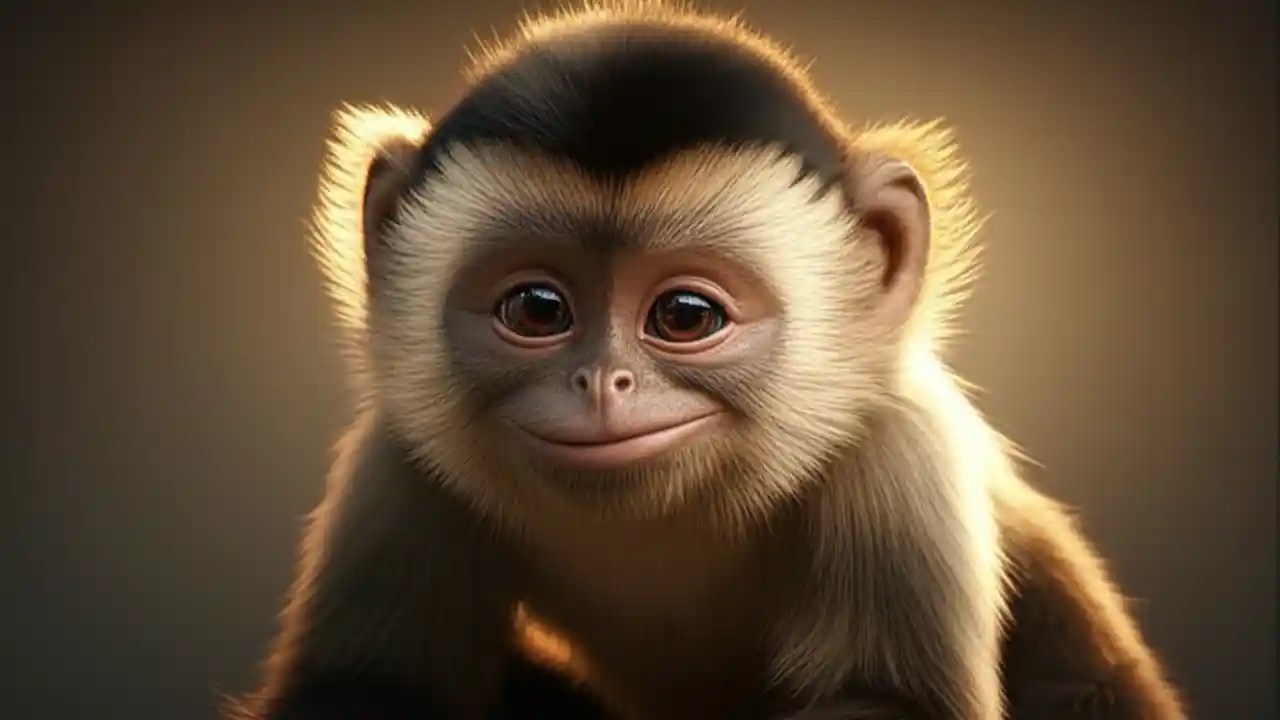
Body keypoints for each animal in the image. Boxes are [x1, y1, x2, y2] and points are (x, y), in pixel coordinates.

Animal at [228, 2, 1188, 719]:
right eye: (537, 309)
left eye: (686, 316)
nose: (602, 382)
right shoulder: (402, 454)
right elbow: (360, 694)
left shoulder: (900, 451)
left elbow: (884, 704)